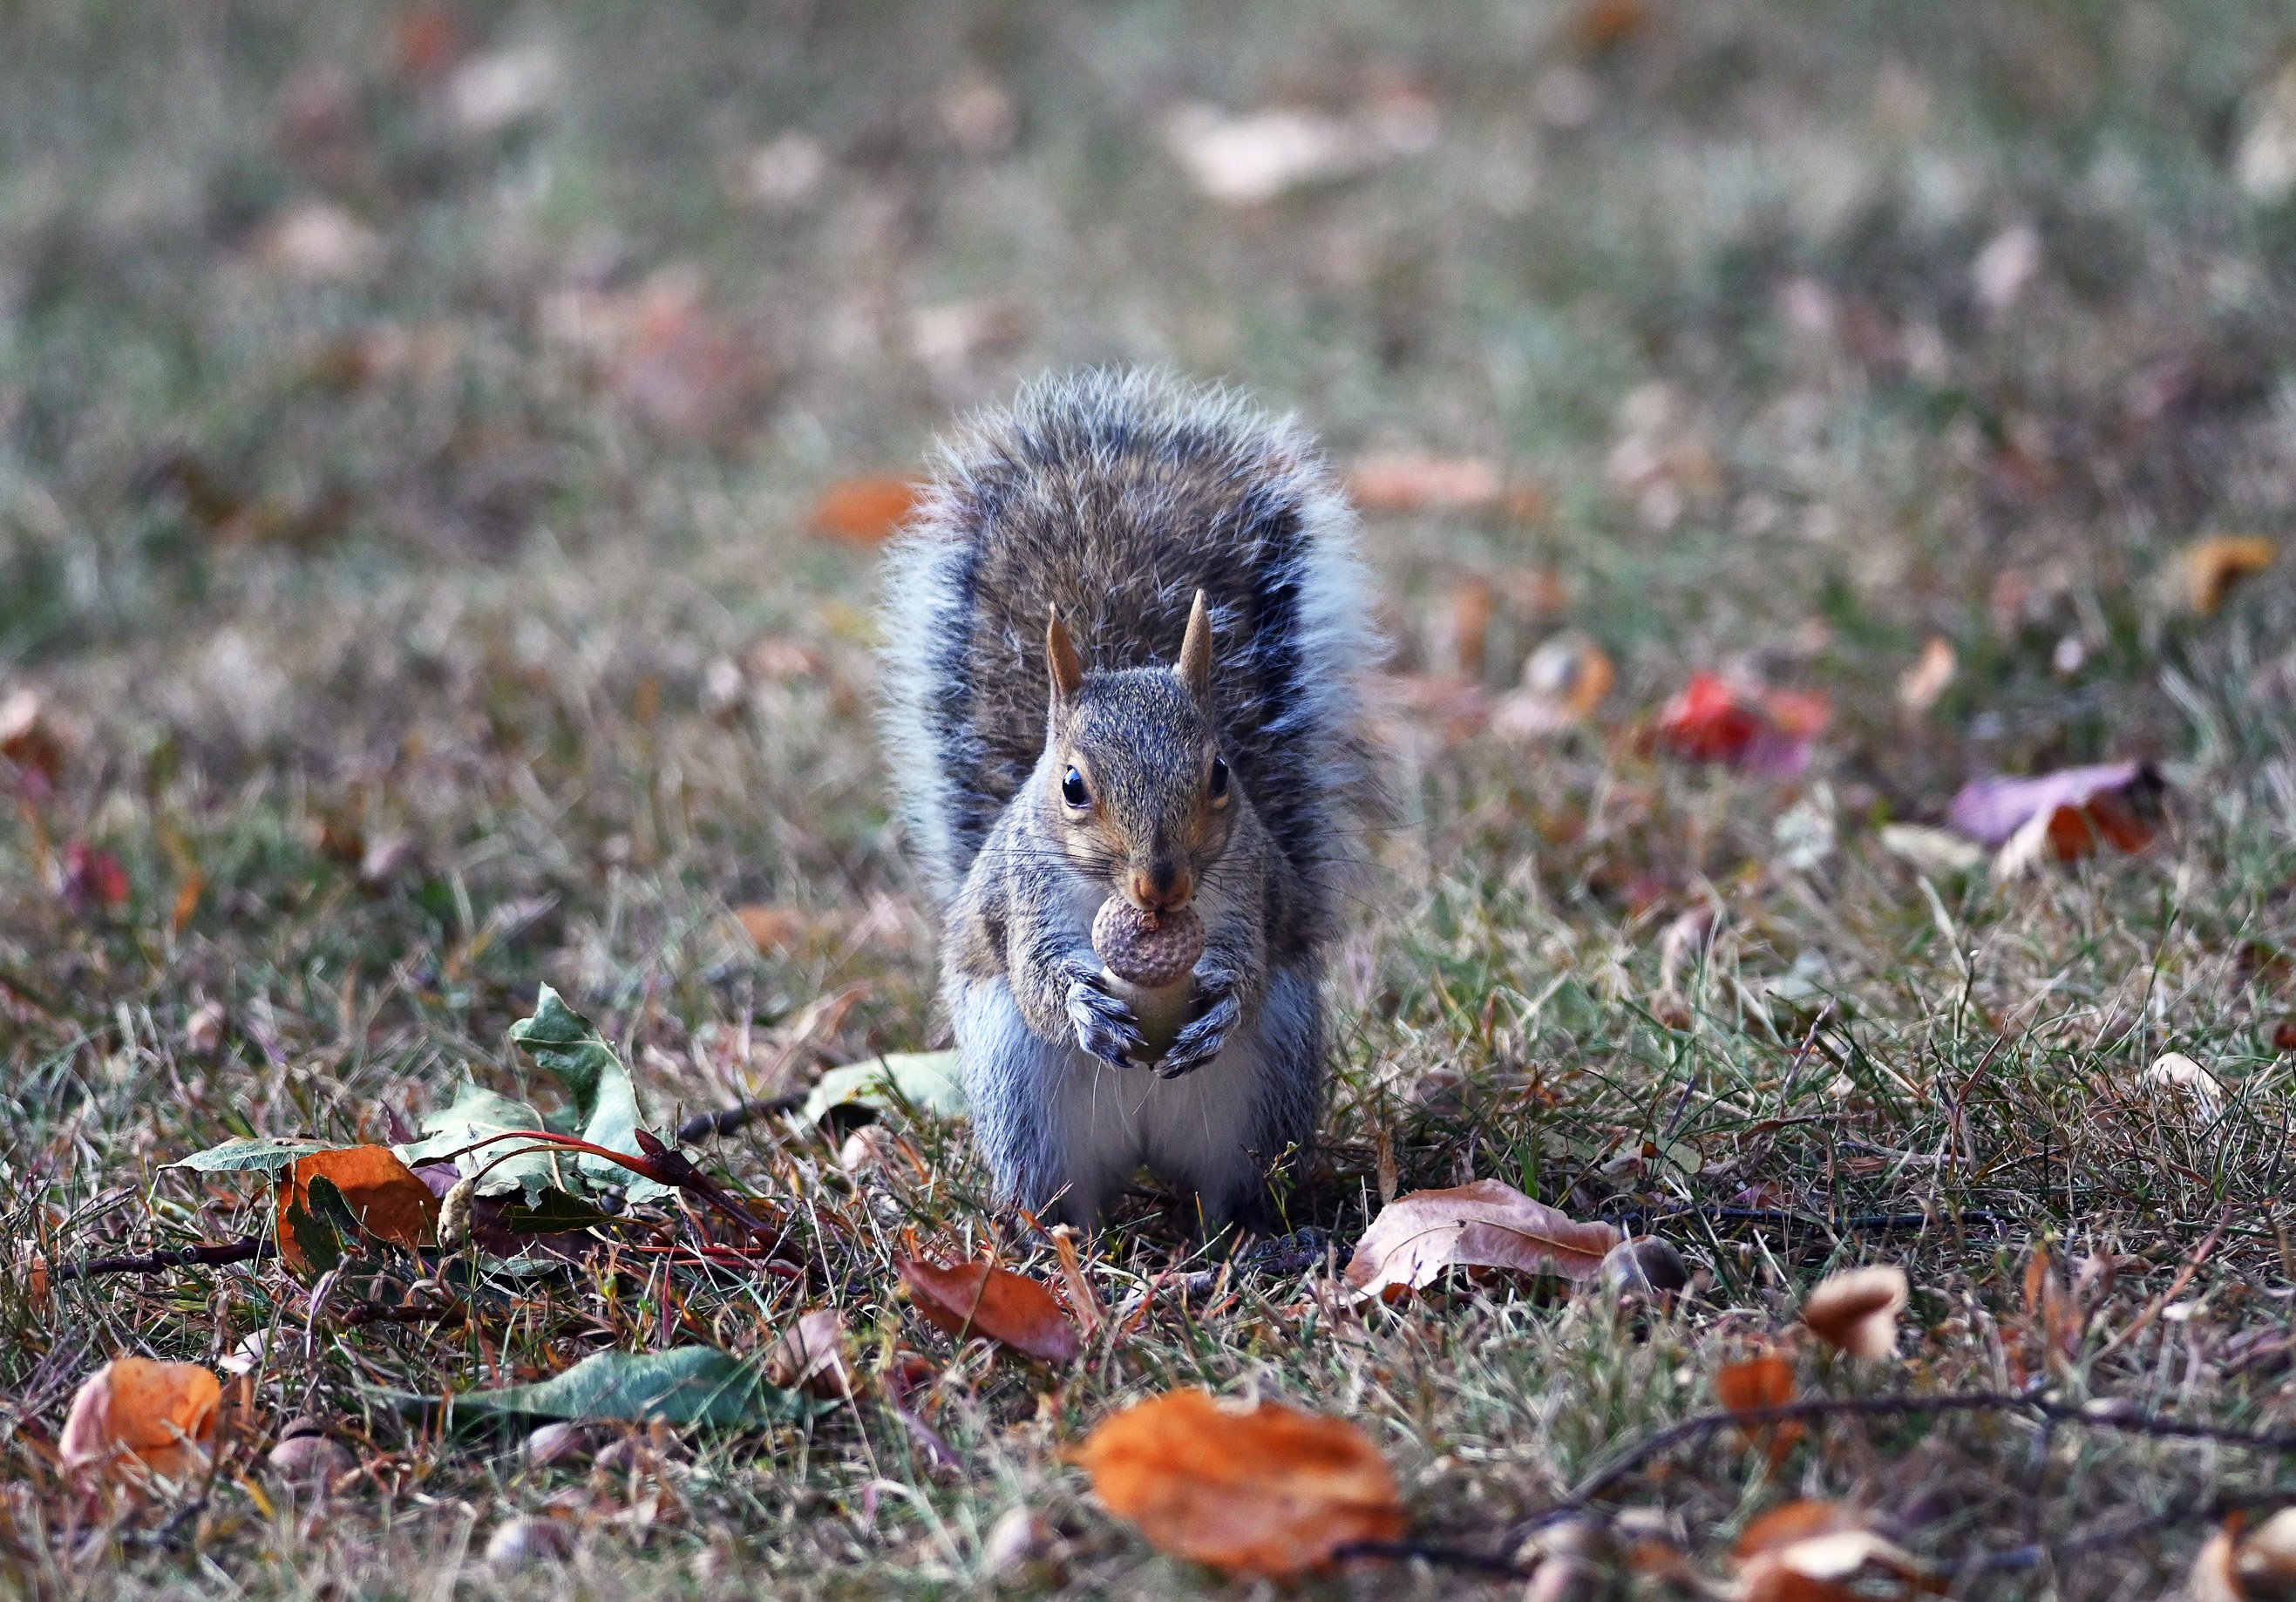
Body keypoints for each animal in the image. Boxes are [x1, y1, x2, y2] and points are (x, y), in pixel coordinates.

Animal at [878, 369, 1380, 1232]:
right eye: (1072, 786)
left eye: (1221, 773)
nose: (1161, 884)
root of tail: (1144, 1151)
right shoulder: (1027, 898)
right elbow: (1037, 979)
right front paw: (1081, 1008)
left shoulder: (1247, 889)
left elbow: (1249, 969)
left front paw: (1221, 1004)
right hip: (1024, 1104)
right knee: (1060, 1196)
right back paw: (1050, 1240)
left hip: (1265, 1093)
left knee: (1231, 1193)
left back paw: (1259, 1241)